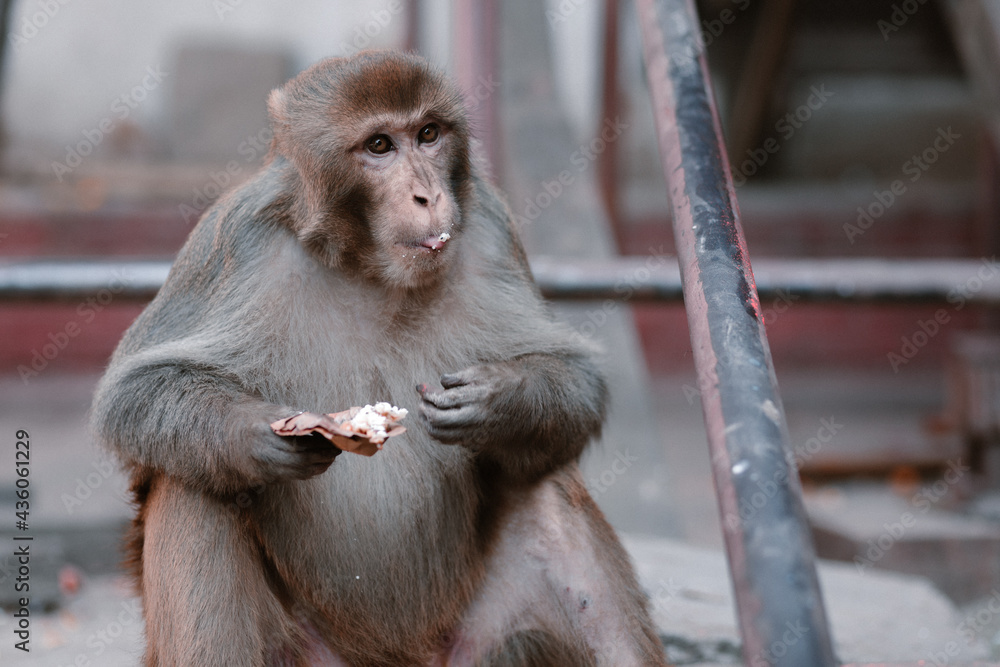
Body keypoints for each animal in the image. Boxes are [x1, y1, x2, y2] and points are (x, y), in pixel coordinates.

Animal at [90, 50, 668, 667]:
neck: (365, 266)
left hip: (478, 641)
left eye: (429, 135)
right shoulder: (234, 241)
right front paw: (260, 436)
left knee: (548, 487)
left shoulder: (489, 226)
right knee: (194, 487)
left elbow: (577, 380)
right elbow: (135, 391)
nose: (429, 196)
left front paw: (499, 403)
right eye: (380, 146)